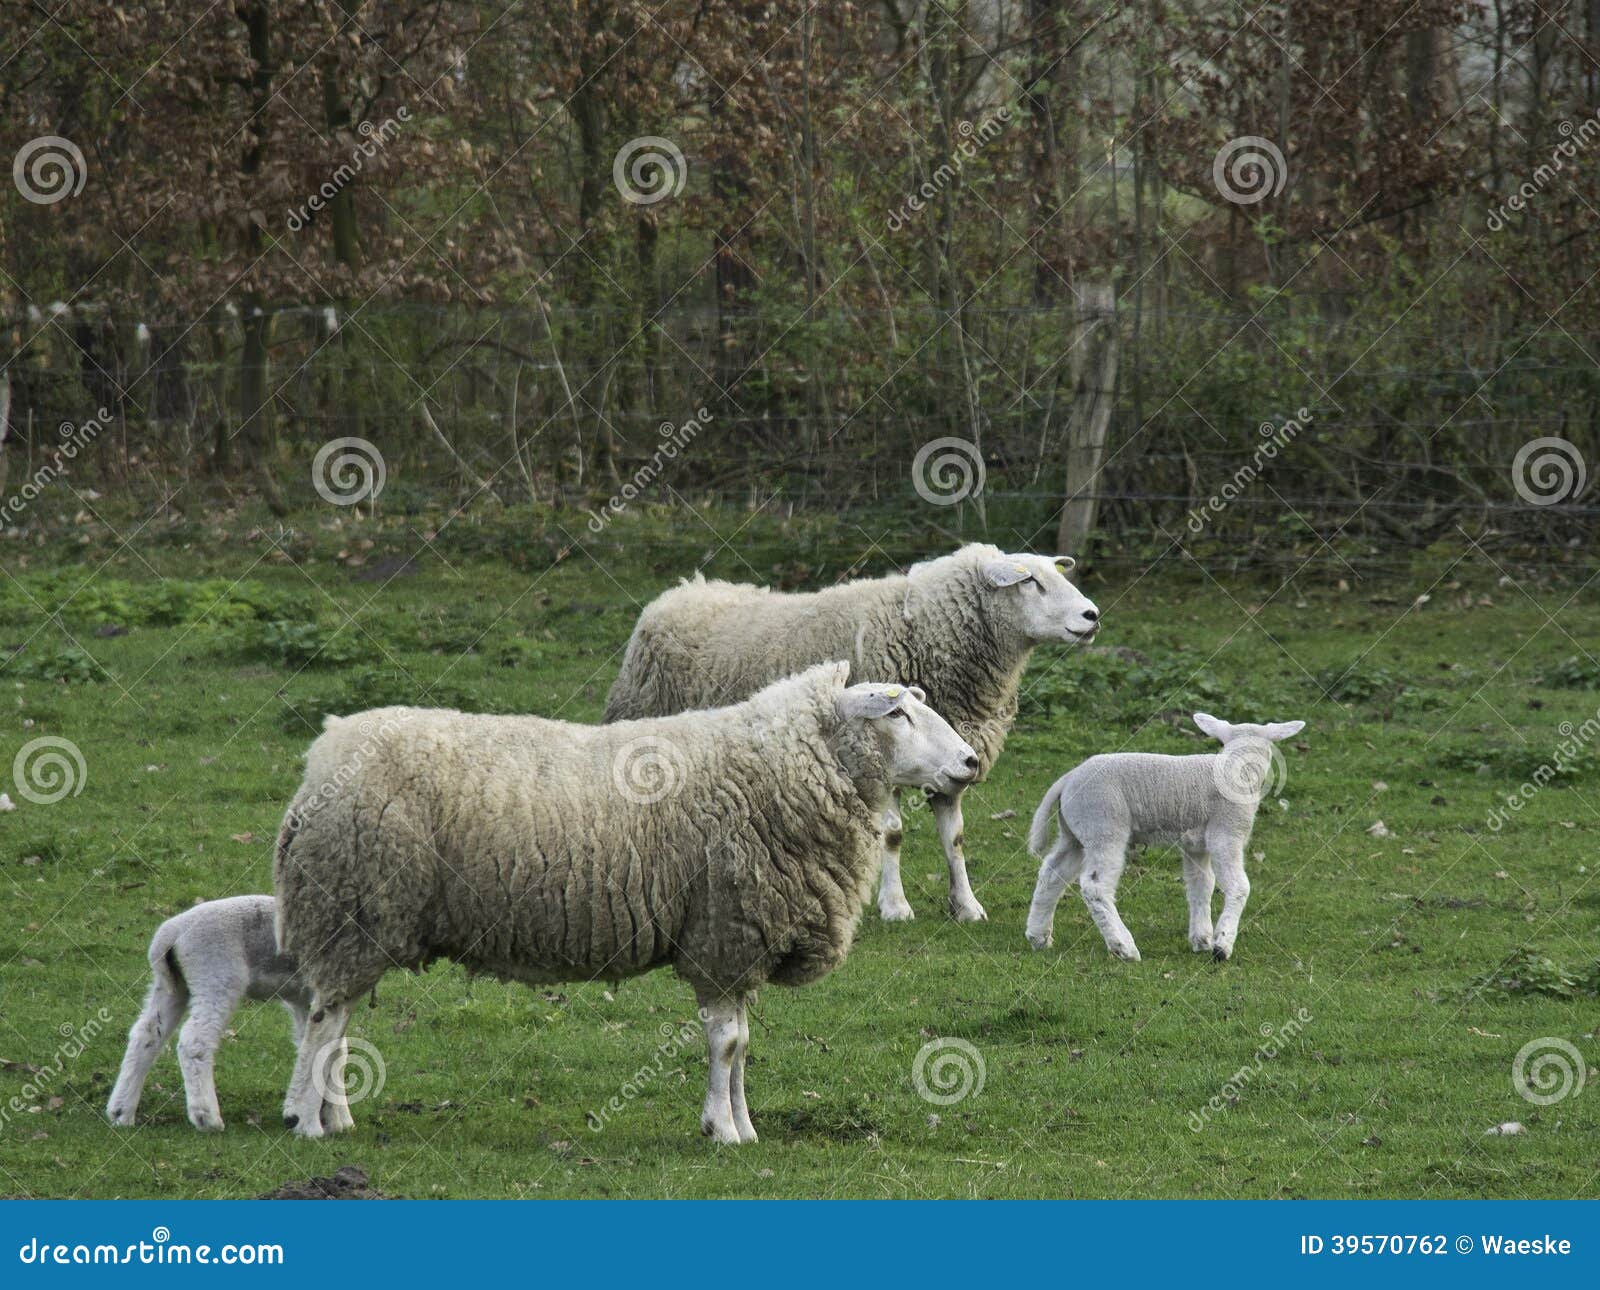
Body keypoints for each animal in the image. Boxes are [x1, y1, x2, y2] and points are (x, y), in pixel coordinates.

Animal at [105, 895, 349, 1133]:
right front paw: (330, 1120)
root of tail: (169, 934)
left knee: (146, 1034)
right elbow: (328, 1048)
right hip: (216, 975)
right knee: (195, 1041)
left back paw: (121, 1111)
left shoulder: (304, 1002)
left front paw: (335, 1118)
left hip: (172, 985)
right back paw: (207, 1118)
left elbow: (328, 1049)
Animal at [273, 662, 978, 1144]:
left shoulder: (741, 945)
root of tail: (320, 762)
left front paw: (743, 1125)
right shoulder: (722, 935)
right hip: (351, 910)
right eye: (897, 716)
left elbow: (743, 1045)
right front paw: (723, 1132)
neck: (782, 770)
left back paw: (338, 1116)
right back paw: (310, 1122)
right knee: (325, 1023)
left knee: (337, 1026)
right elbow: (727, 1044)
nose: (971, 761)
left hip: (360, 922)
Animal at [602, 543, 1101, 923]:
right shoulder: (881, 753)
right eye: (1029, 582)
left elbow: (955, 838)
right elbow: (893, 834)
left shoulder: (951, 759)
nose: (1092, 615)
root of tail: (684, 589)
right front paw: (895, 906)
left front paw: (966, 905)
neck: (925, 630)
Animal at [1024, 713, 1306, 962]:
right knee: (1095, 886)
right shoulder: (1226, 833)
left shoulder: (1196, 845)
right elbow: (1239, 886)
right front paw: (1221, 945)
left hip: (1075, 831)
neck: (1237, 769)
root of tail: (1068, 779)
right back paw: (1123, 947)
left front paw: (1202, 940)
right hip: (1103, 824)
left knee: (1052, 872)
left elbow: (1201, 885)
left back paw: (1038, 936)